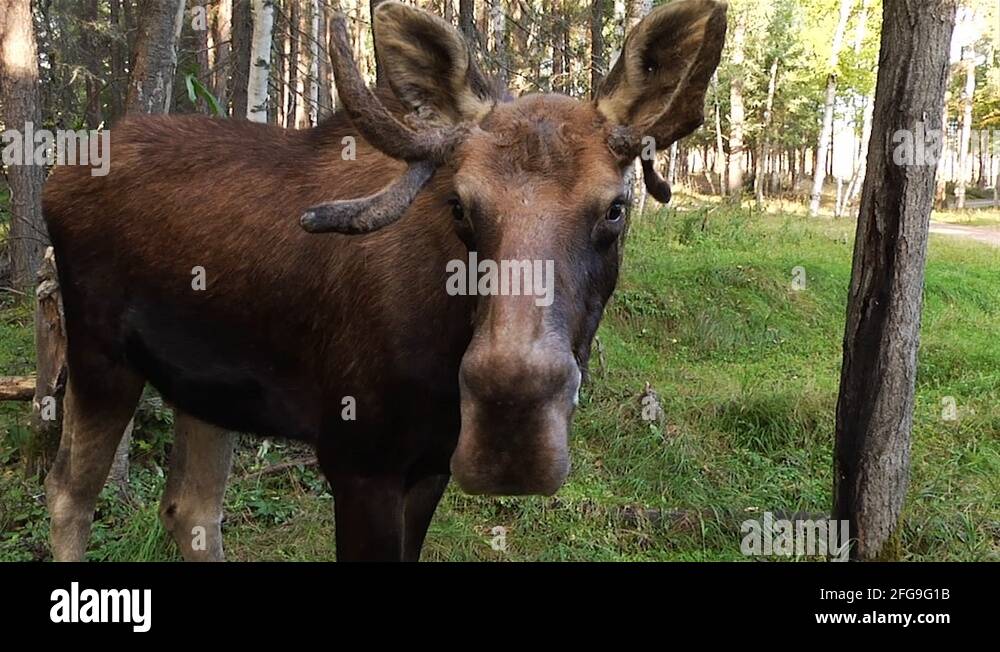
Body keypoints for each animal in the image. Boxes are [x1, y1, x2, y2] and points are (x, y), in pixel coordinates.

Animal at [40, 0, 727, 561]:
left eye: (616, 207)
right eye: (460, 206)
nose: (512, 431)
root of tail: (57, 171)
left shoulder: (431, 467)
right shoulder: (358, 461)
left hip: (204, 385)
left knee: (190, 509)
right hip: (100, 356)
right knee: (68, 495)